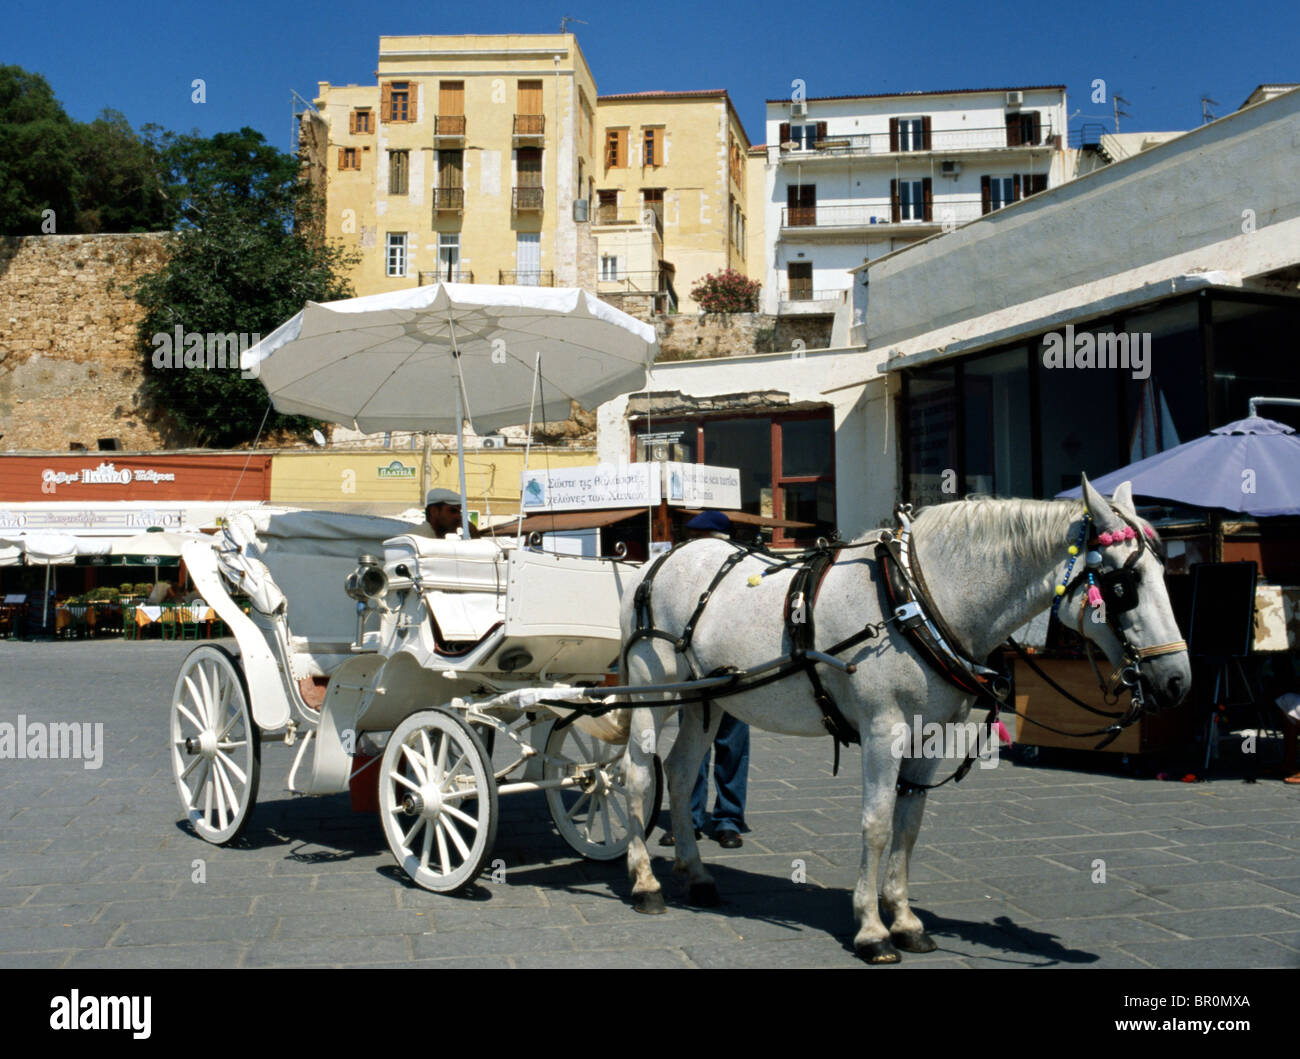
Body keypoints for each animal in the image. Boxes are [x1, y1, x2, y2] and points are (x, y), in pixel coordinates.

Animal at [617, 477, 1191, 963]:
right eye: (1125, 584)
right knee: (638, 774)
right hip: (652, 690)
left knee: (682, 771)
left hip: (708, 701)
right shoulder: (882, 731)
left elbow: (908, 825)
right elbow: (875, 824)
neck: (916, 601)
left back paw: (696, 874)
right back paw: (645, 883)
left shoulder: (930, 736)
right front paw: (871, 930)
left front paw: (906, 920)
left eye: (1166, 576)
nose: (1178, 681)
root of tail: (659, 562)